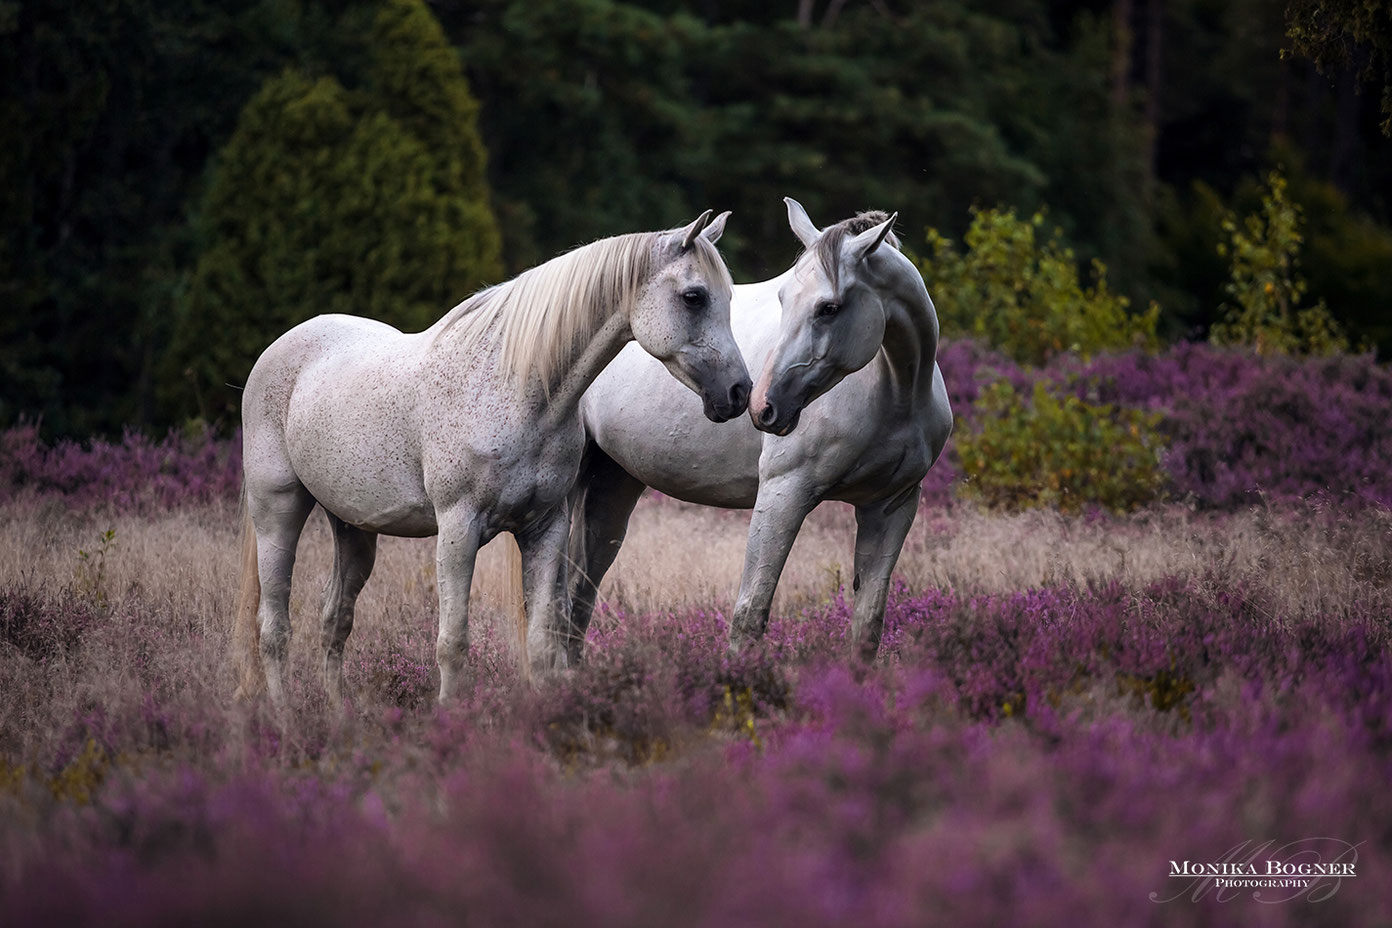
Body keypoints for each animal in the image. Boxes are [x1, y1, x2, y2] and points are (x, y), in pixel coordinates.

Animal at [232, 210, 751, 706]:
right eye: (693, 297)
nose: (739, 392)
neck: (517, 390)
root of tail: (280, 348)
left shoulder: (546, 528)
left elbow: (541, 643)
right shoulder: (457, 529)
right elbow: (452, 642)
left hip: (353, 527)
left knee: (335, 619)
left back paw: (339, 716)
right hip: (278, 512)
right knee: (273, 628)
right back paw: (285, 719)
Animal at [567, 199, 952, 662]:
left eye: (829, 308)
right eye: (783, 297)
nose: (763, 406)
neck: (897, 390)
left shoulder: (892, 507)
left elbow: (867, 625)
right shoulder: (784, 493)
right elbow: (750, 613)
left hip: (613, 482)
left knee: (578, 593)